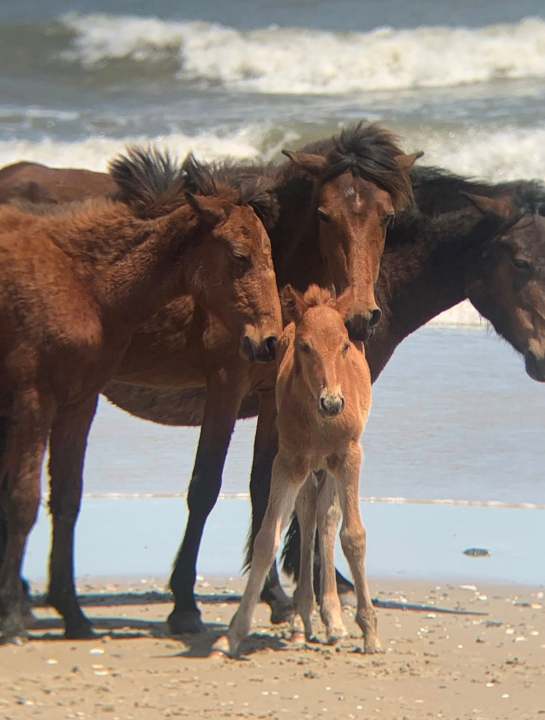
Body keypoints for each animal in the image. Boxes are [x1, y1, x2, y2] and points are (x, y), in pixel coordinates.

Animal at [0, 147, 282, 641]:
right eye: (238, 255)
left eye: (270, 252)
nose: (268, 342)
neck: (83, 283)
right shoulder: (33, 399)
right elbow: (23, 498)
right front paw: (14, 615)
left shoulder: (79, 402)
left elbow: (67, 498)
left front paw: (71, 613)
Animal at [215, 284, 378, 658]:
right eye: (304, 346)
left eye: (344, 345)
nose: (332, 403)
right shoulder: (288, 461)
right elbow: (266, 538)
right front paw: (233, 634)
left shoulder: (349, 456)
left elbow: (353, 536)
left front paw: (369, 632)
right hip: (306, 465)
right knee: (308, 512)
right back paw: (303, 620)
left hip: (330, 465)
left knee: (327, 517)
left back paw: (332, 620)